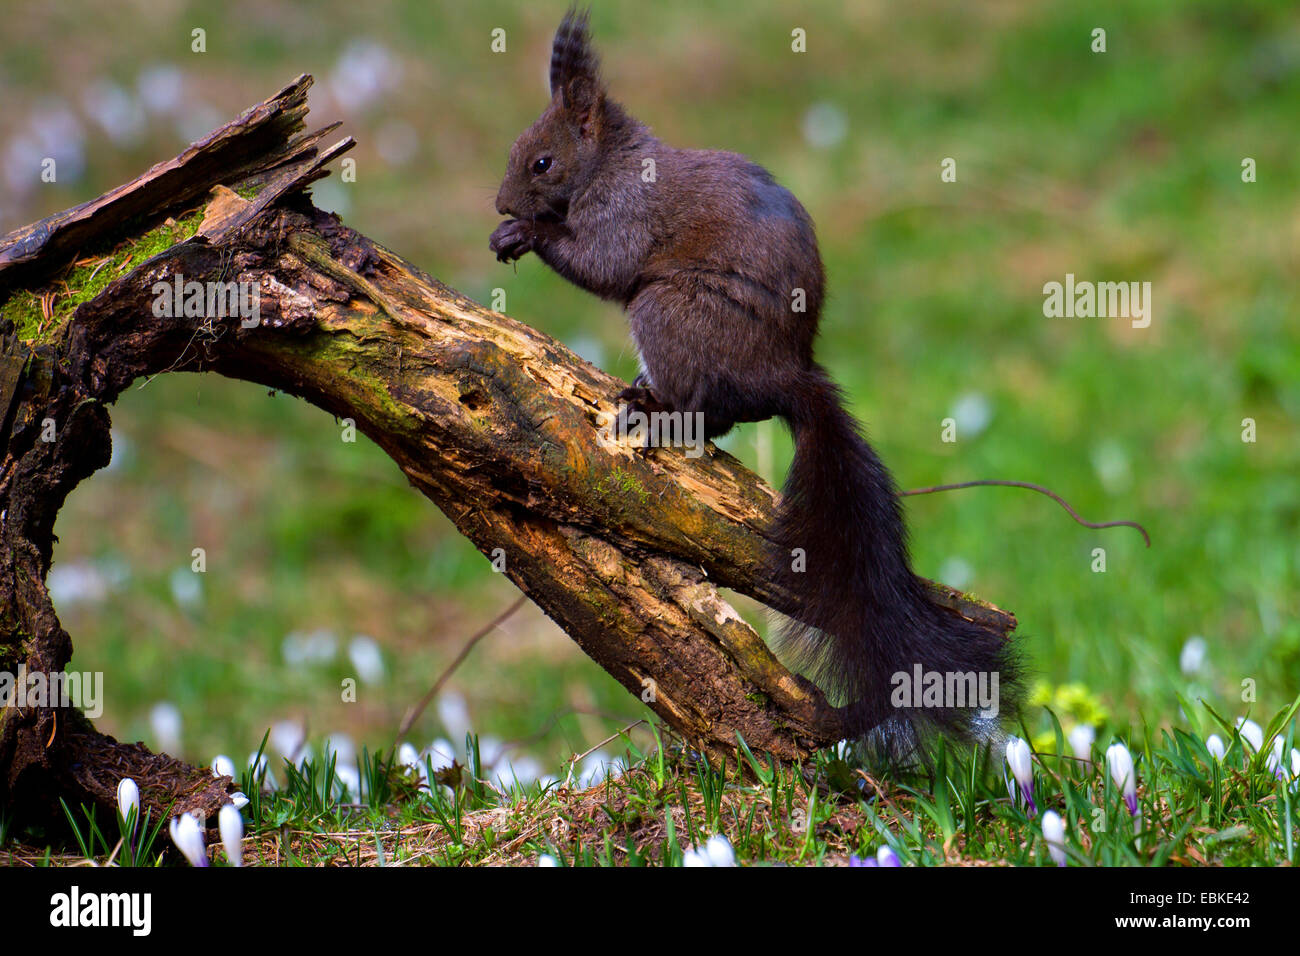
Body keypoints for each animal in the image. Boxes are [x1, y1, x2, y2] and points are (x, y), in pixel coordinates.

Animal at [490, 8, 1021, 753]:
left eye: (542, 161)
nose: (500, 203)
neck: (611, 163)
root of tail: (784, 376)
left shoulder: (626, 213)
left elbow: (604, 264)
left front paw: (527, 235)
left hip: (673, 311)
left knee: (709, 407)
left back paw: (659, 410)